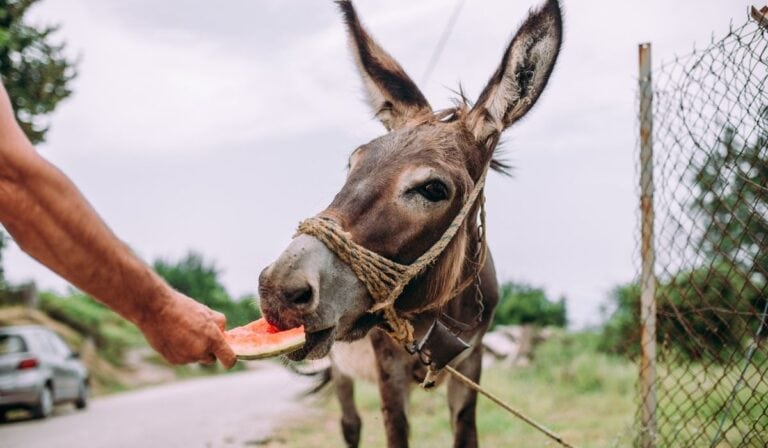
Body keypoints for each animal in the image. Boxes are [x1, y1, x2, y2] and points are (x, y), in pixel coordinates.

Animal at [258, 1, 563, 446]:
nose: (277, 290)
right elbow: (394, 430)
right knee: (350, 423)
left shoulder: (471, 366)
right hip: (340, 368)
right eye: (352, 164)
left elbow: (465, 431)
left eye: (433, 188)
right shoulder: (388, 368)